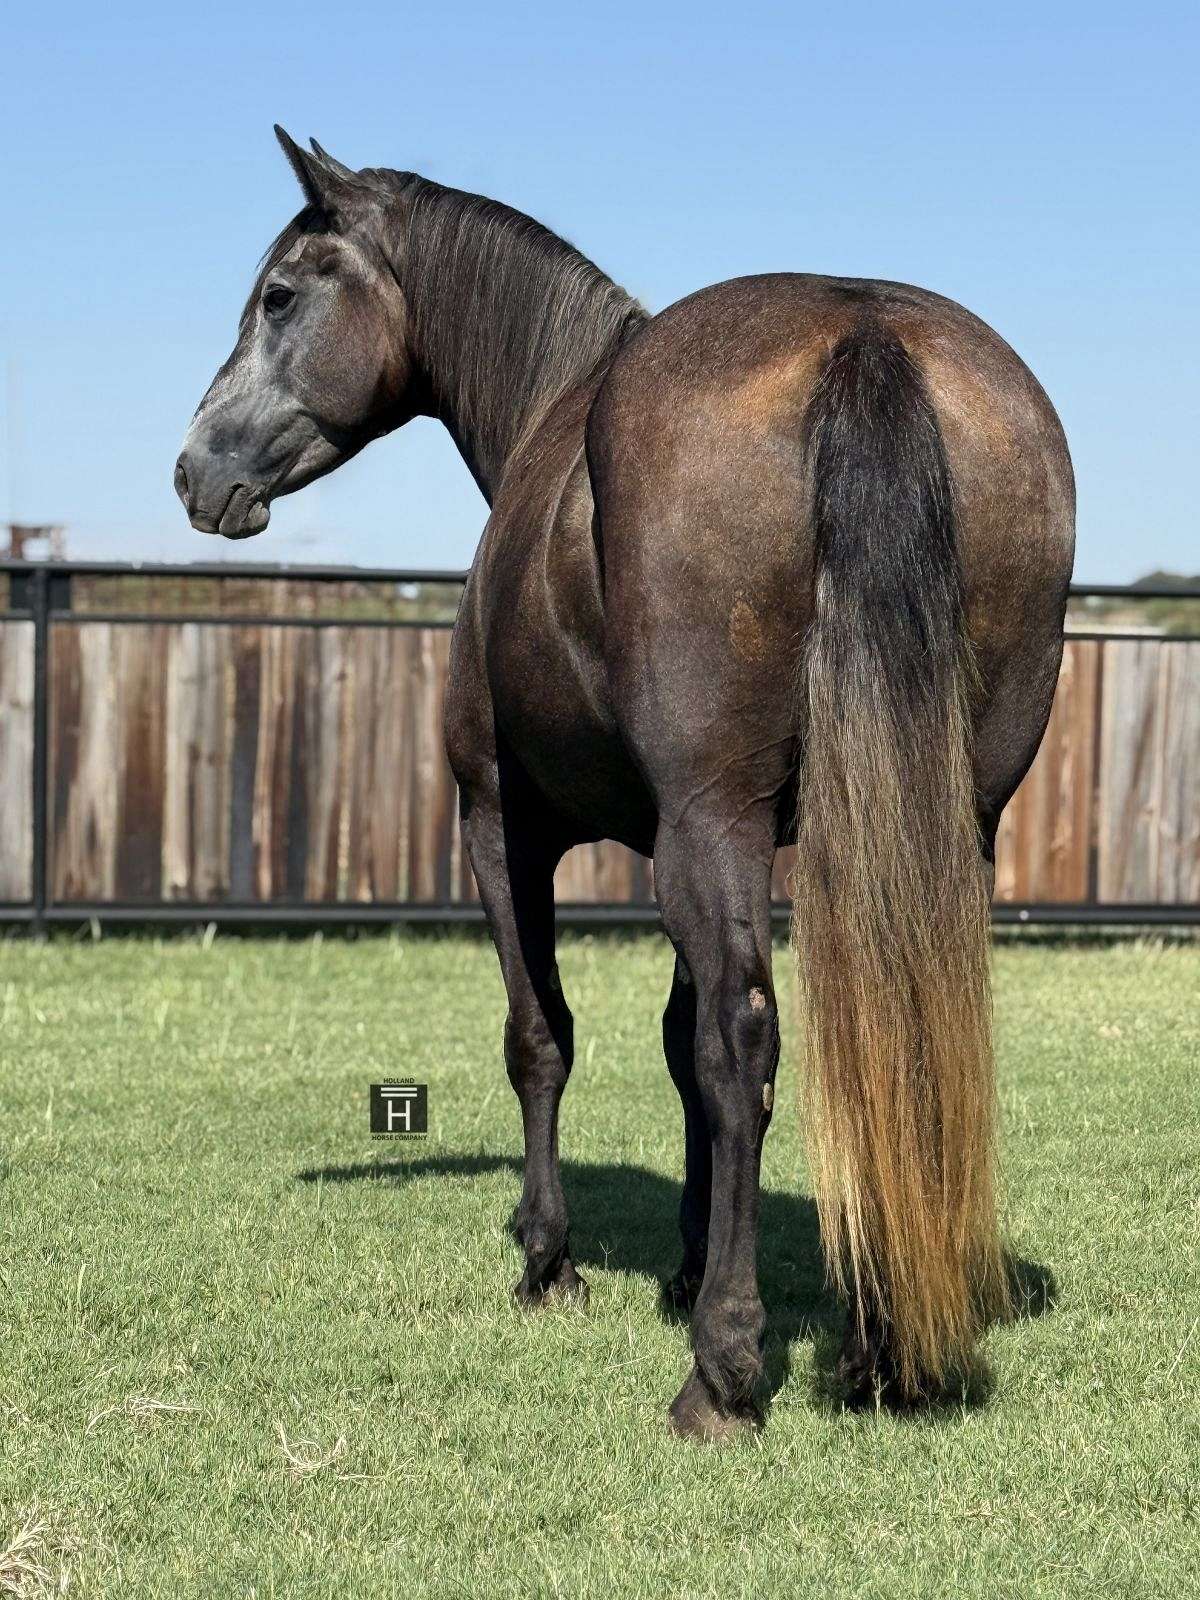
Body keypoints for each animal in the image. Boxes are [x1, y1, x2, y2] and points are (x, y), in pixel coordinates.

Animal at [176, 128, 1074, 1440]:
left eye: (280, 297)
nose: (193, 471)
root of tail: (866, 337)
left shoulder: (509, 827)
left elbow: (545, 1035)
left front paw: (549, 1259)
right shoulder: (678, 842)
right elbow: (676, 1044)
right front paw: (690, 1257)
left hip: (714, 821)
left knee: (745, 1040)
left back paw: (725, 1373)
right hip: (937, 823)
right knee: (898, 1019)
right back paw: (886, 1343)